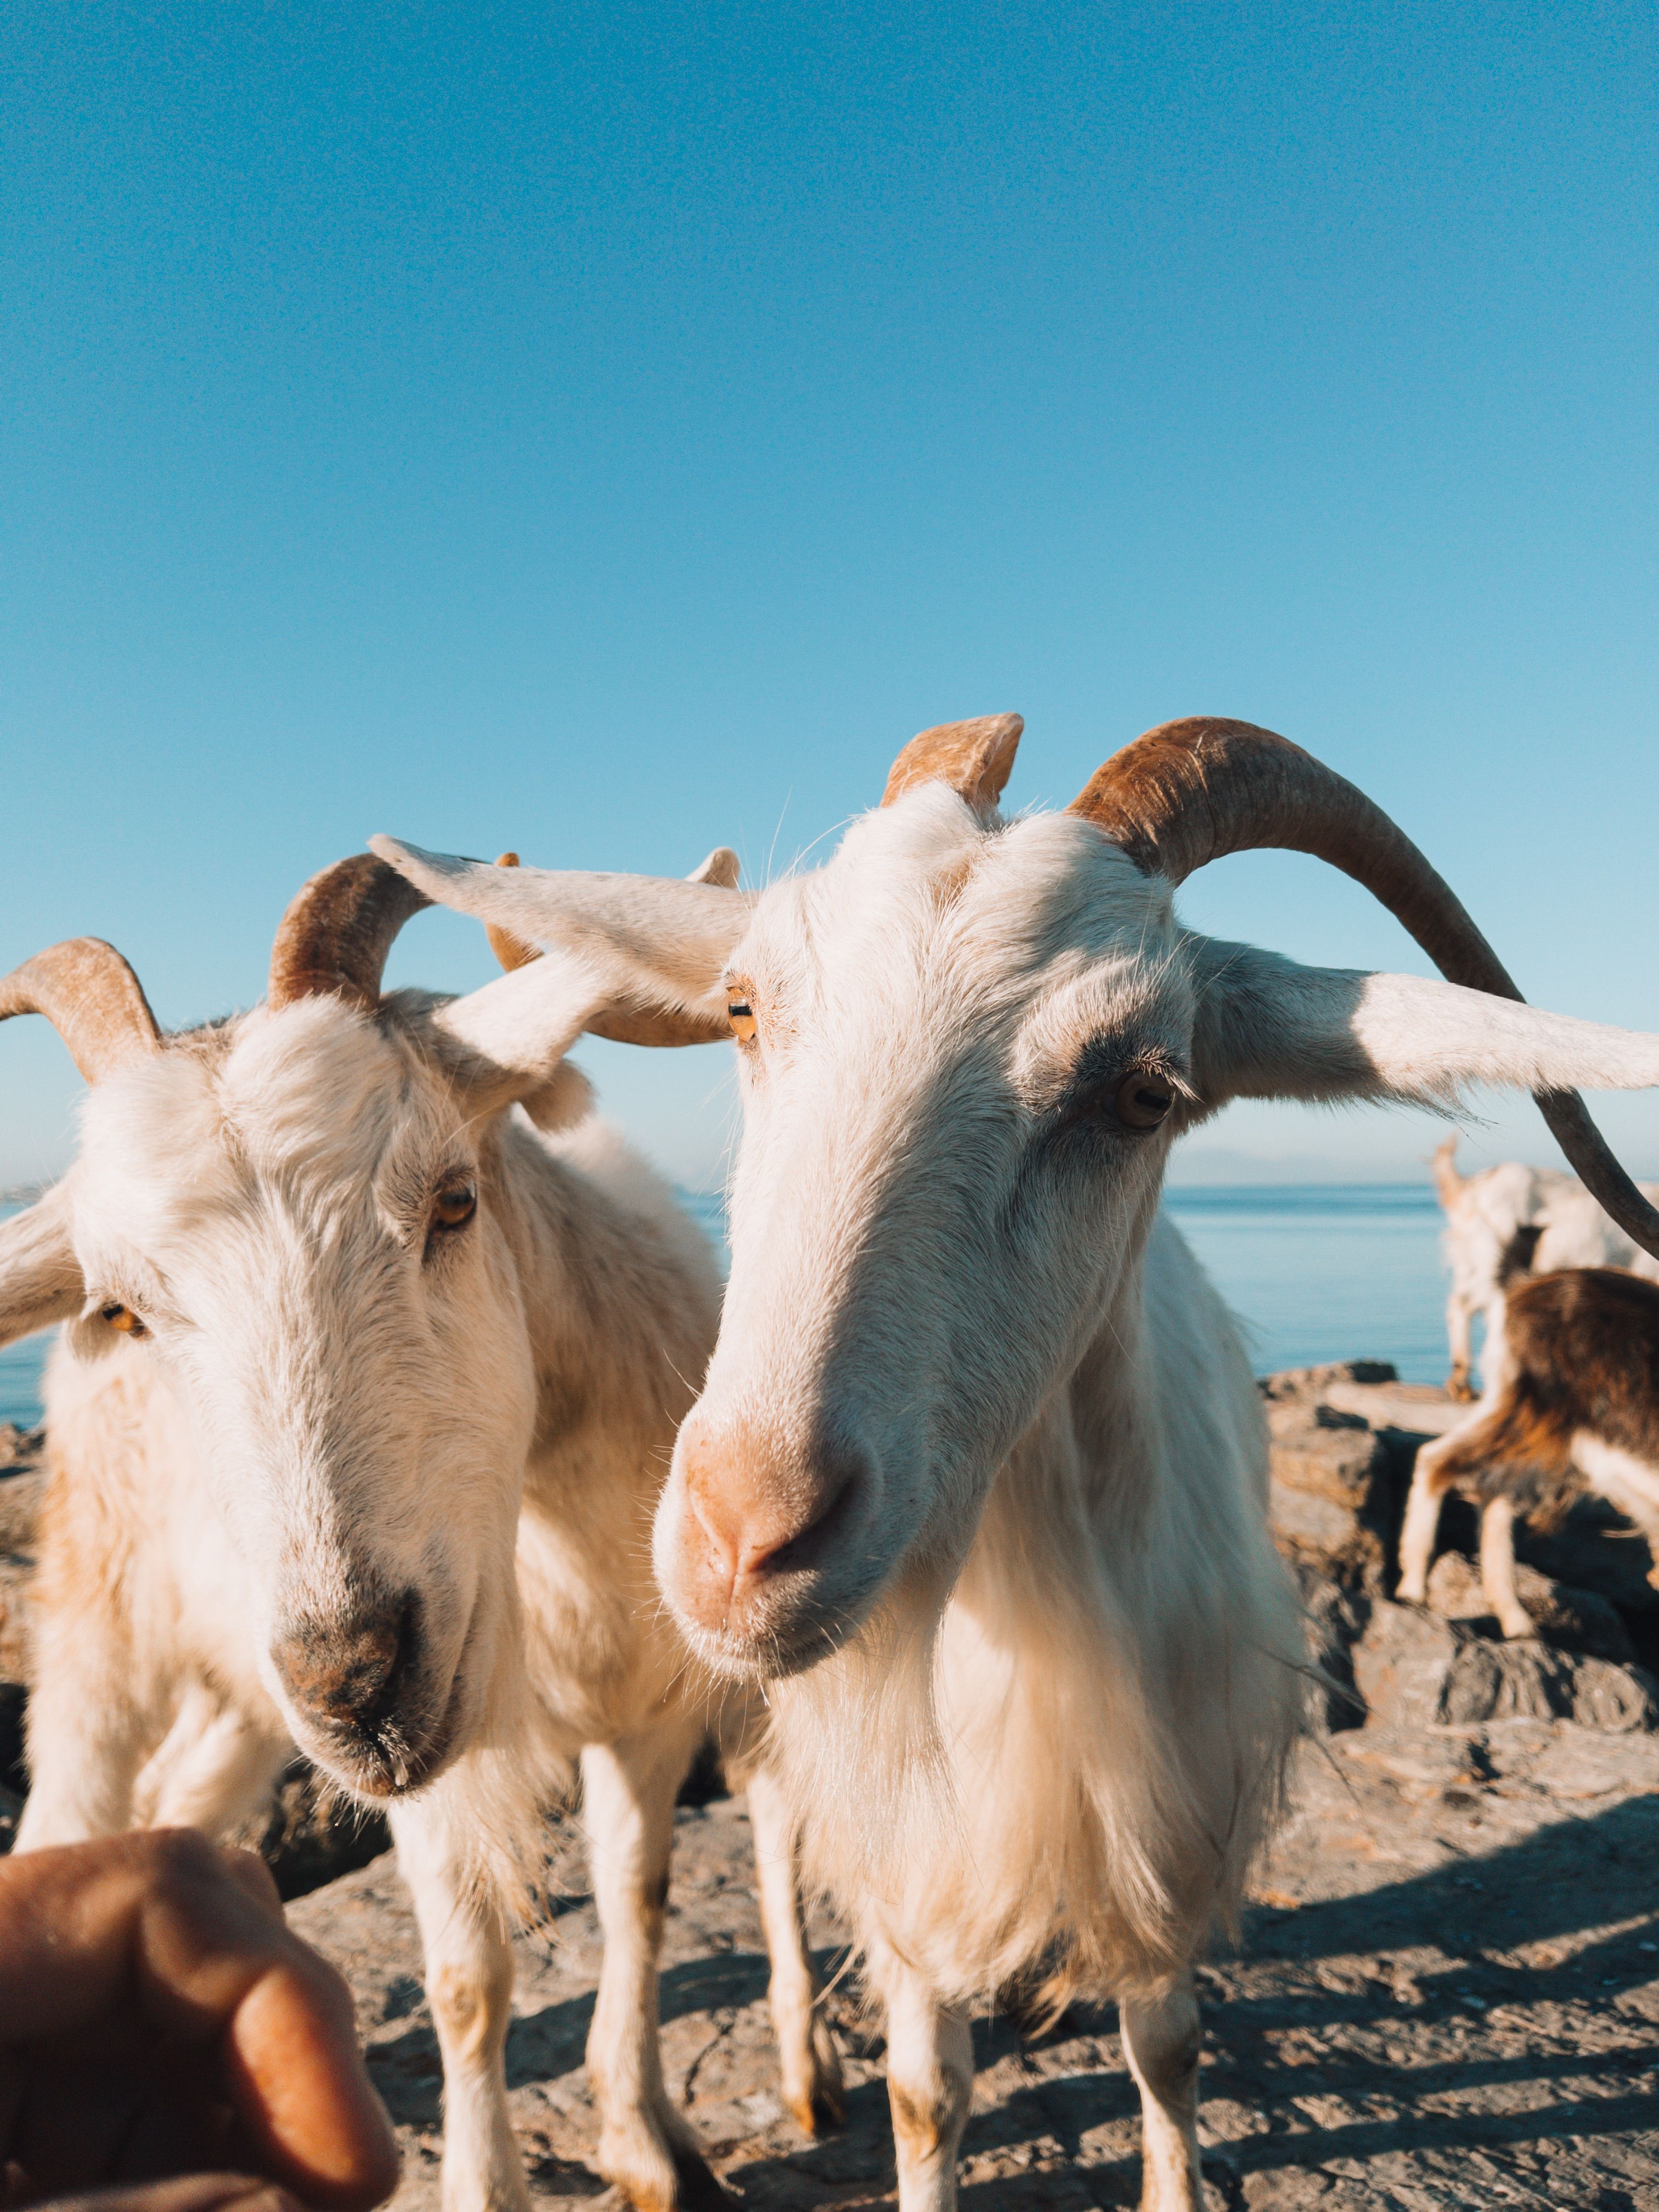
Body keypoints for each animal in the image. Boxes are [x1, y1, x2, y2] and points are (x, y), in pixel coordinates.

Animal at [0, 855, 840, 2212]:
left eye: (453, 1201)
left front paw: (644, 2134)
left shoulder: (650, 1710)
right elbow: (467, 1978)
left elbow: (639, 1899)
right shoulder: (444, 1743)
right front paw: (489, 2178)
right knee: (72, 1811)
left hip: (246, 1679)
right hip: (106, 1615)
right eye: (127, 1308)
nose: (353, 1681)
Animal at [1398, 1266, 1659, 1638]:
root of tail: (1520, 1295)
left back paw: (1515, 1620)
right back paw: (1413, 1589)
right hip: (1540, 1418)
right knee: (1442, 1461)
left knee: (1488, 1488)